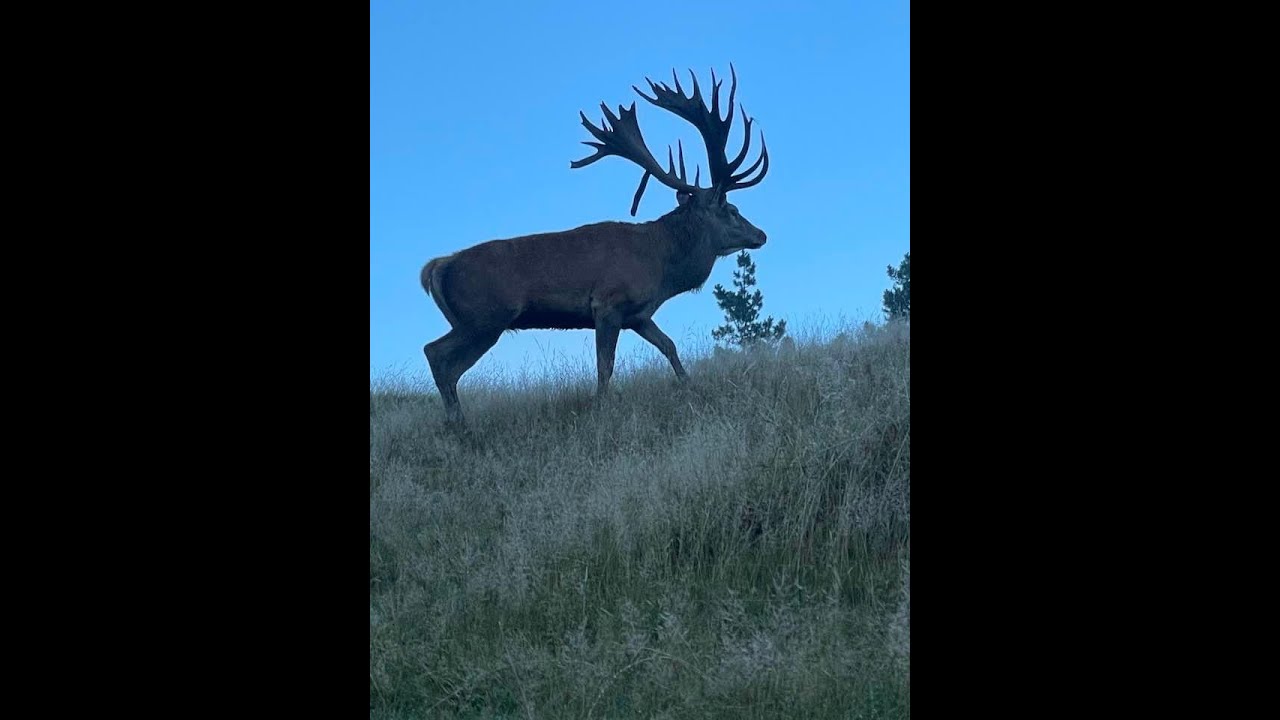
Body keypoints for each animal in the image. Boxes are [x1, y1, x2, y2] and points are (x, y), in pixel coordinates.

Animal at [420, 65, 770, 424]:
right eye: (732, 210)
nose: (761, 234)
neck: (662, 265)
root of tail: (437, 267)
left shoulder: (639, 315)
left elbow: (669, 346)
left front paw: (689, 386)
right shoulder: (608, 302)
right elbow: (605, 365)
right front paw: (602, 408)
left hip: (472, 319)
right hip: (486, 315)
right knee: (438, 355)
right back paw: (457, 423)